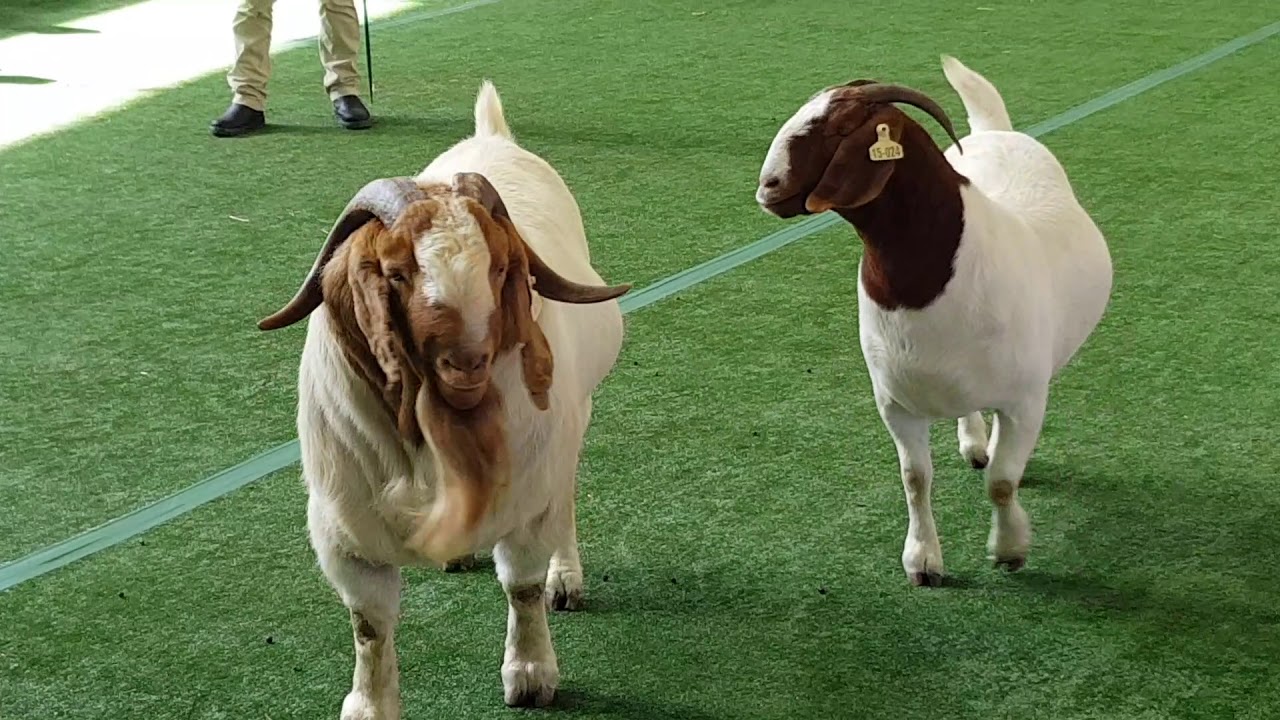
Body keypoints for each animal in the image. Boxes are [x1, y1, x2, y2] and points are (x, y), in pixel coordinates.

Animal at [256, 81, 632, 717]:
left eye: (501, 267)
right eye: (396, 272)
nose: (468, 361)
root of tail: (491, 134)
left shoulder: (526, 501)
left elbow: (521, 586)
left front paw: (530, 674)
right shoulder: (345, 539)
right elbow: (370, 626)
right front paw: (369, 704)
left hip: (571, 429)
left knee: (565, 499)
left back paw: (565, 579)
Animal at [754, 56, 1113, 586]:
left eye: (841, 126)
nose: (768, 186)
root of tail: (993, 131)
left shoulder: (1024, 399)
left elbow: (1002, 483)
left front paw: (1009, 549)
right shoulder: (895, 401)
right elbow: (914, 479)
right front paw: (922, 561)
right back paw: (975, 443)